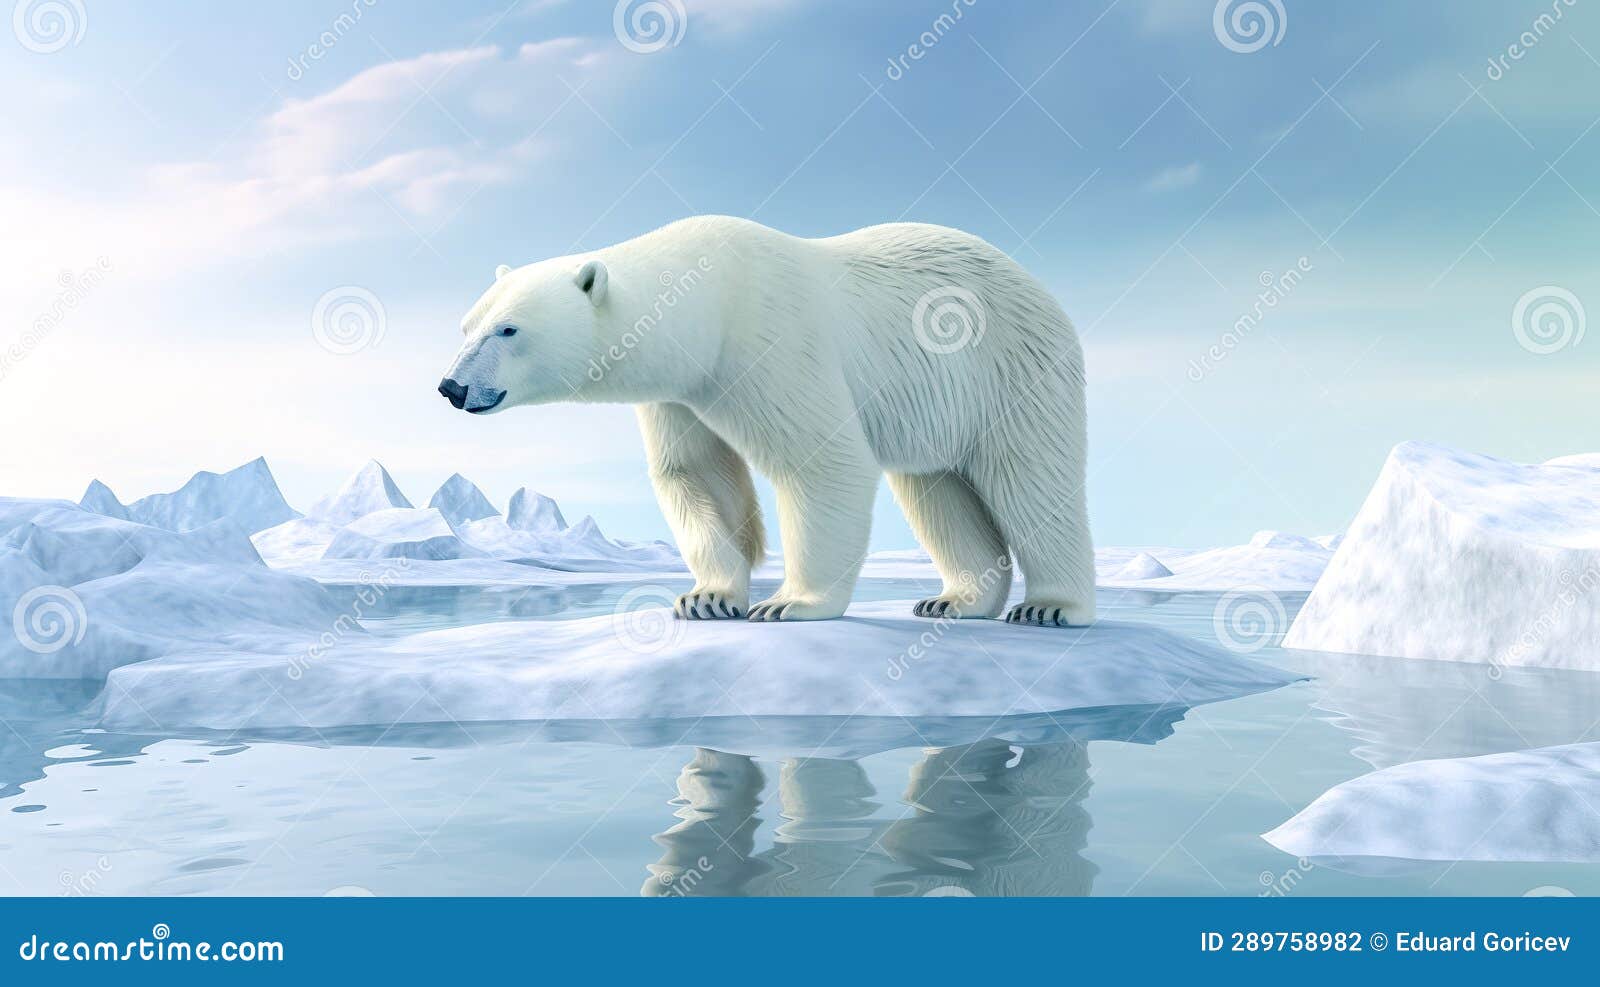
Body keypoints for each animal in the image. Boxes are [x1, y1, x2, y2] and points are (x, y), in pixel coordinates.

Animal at [439, 216, 1093, 626]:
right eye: (467, 325)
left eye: (509, 330)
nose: (452, 387)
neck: (709, 299)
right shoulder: (682, 390)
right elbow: (695, 474)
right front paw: (708, 598)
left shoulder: (772, 341)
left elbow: (824, 461)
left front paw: (789, 604)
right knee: (936, 490)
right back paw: (954, 601)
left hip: (1008, 368)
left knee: (1031, 479)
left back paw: (1052, 607)